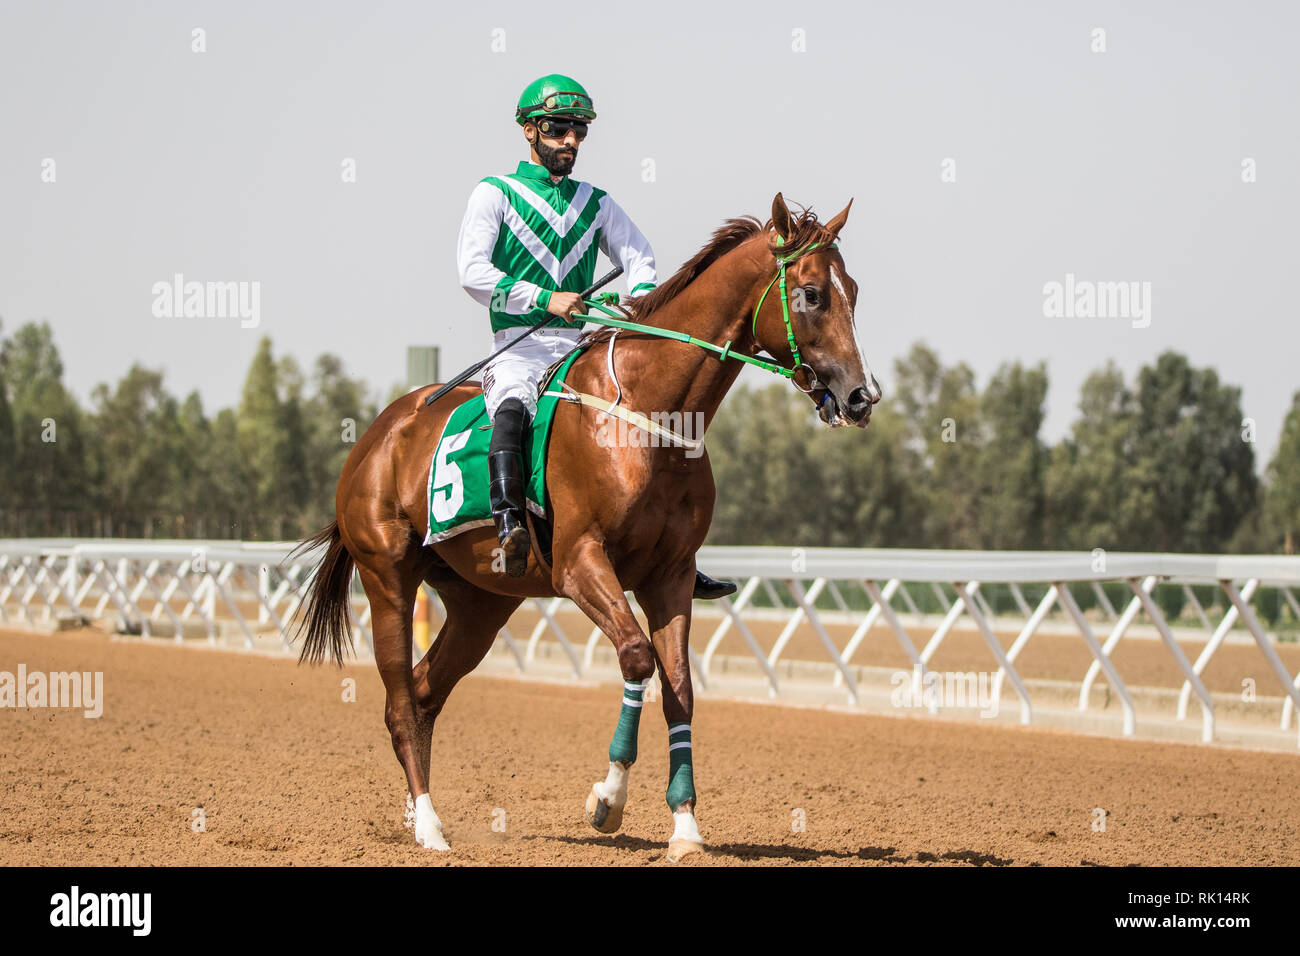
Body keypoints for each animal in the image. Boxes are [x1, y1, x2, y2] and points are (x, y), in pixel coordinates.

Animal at [291, 192, 882, 860]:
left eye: (853, 290)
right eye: (811, 294)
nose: (861, 397)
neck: (648, 417)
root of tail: (379, 434)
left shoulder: (670, 577)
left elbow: (680, 687)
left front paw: (685, 828)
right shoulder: (580, 562)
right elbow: (636, 659)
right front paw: (608, 798)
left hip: (481, 603)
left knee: (422, 693)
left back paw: (416, 808)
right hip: (388, 578)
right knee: (397, 698)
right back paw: (429, 826)